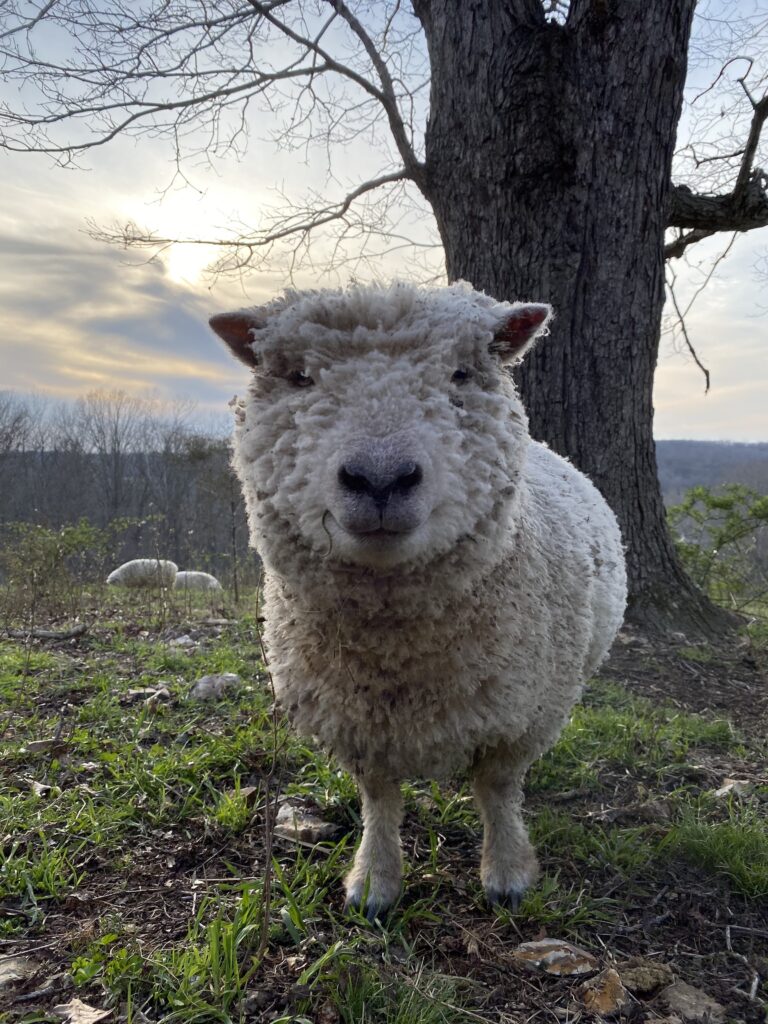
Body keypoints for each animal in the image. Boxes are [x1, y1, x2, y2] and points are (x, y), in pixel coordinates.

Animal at [209, 281, 627, 918]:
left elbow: (497, 789)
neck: (397, 655)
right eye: (301, 376)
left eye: (460, 373)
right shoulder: (358, 720)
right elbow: (378, 798)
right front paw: (373, 883)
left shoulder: (525, 712)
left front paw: (507, 872)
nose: (380, 478)